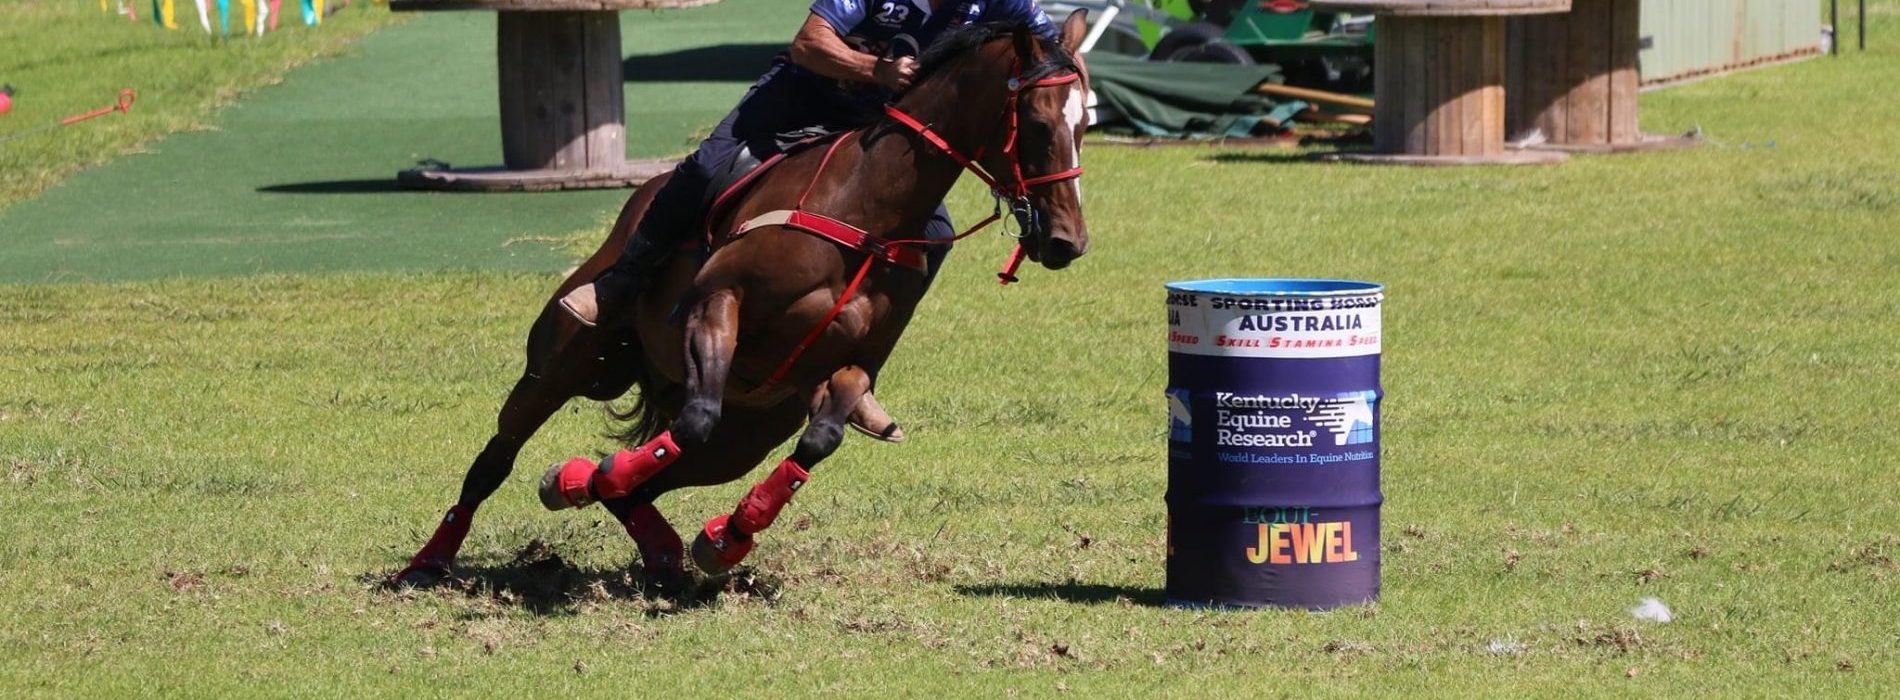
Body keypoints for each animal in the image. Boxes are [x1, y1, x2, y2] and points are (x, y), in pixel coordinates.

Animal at [393, 13, 1094, 588]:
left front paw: (725, 537)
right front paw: (593, 474)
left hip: (747, 434)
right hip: (560, 365)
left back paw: (658, 549)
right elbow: (691, 420)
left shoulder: (854, 363)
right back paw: (430, 560)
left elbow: (818, 440)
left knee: (654, 480)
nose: (1067, 240)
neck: (868, 208)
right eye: (1037, 125)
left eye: (1085, 124)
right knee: (496, 460)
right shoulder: (717, 303)